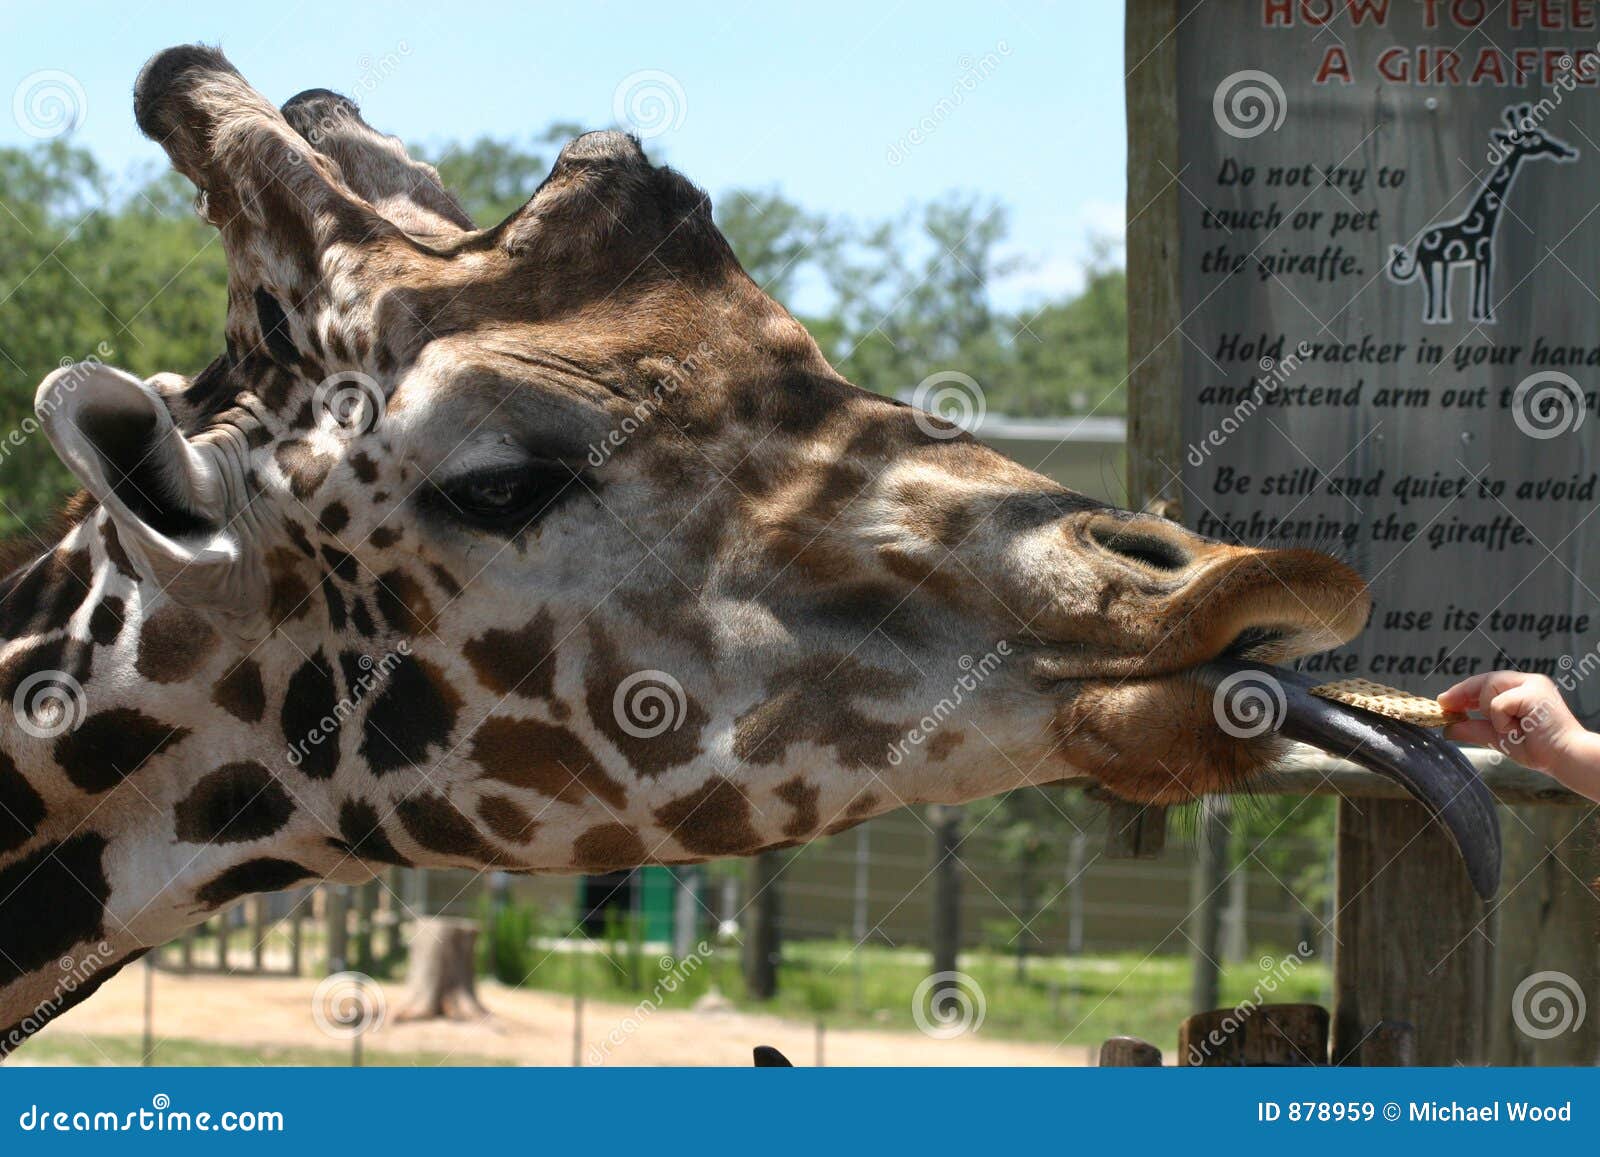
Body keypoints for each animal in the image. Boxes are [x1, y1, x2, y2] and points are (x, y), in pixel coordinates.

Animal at [1388, 104, 1577, 325]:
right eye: (1535, 140)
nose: (1563, 150)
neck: (1484, 221)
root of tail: (1419, 244)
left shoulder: (1482, 259)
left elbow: (1480, 284)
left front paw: (1482, 315)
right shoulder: (1484, 257)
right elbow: (1482, 285)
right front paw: (1485, 315)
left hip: (1440, 263)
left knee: (1440, 285)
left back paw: (1440, 316)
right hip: (1428, 263)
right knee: (1432, 288)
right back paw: (1433, 316)